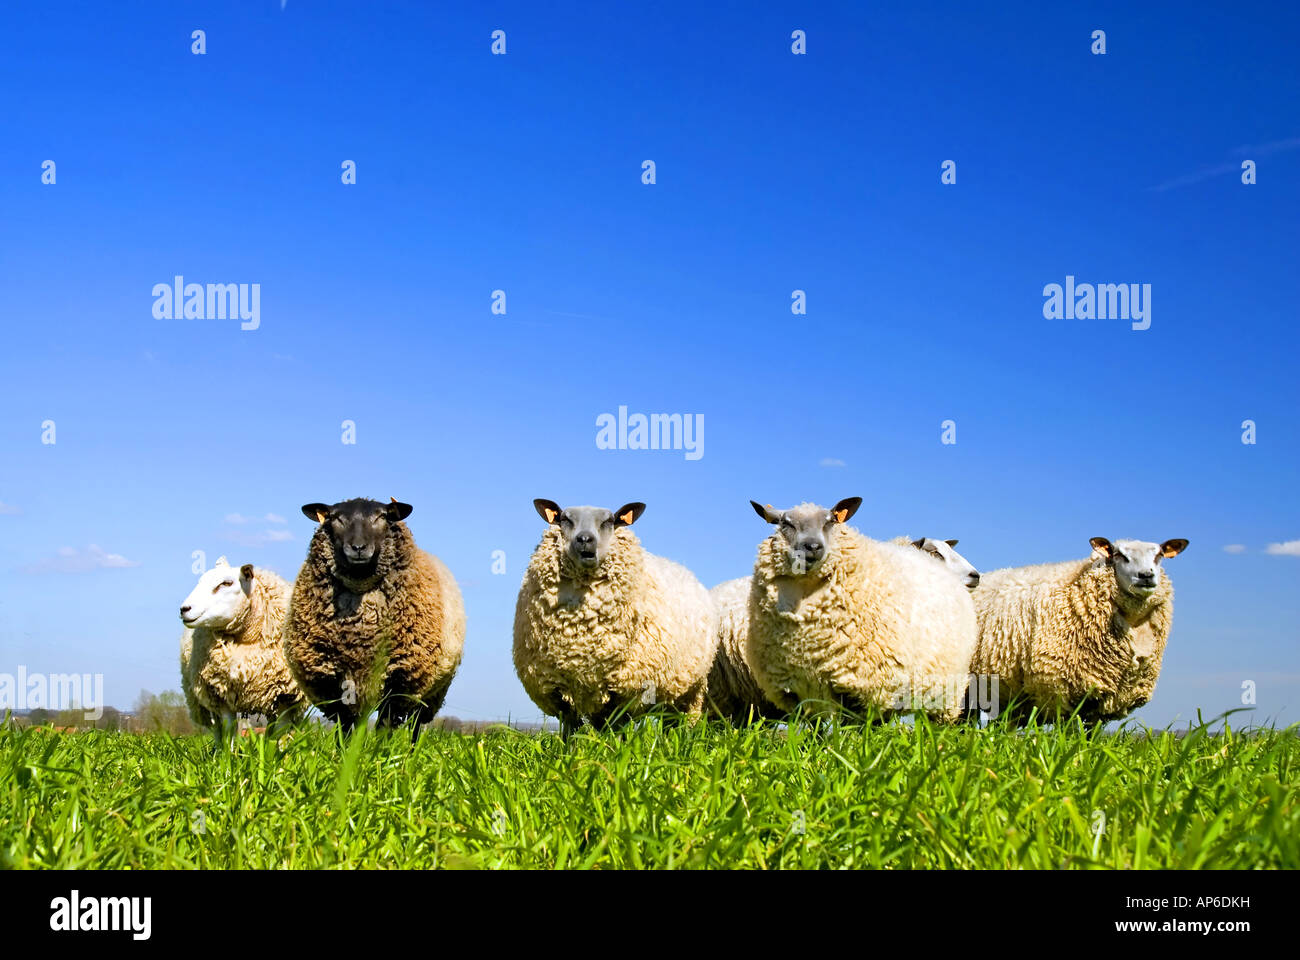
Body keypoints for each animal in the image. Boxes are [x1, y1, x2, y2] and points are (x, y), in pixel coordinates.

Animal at [178, 557, 306, 742]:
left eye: (226, 583)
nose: (184, 609)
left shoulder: (287, 696)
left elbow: (280, 733)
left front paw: (278, 750)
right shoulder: (221, 694)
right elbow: (228, 732)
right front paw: (228, 751)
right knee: (217, 730)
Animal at [282, 497, 465, 732]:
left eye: (382, 517)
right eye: (336, 518)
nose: (358, 547)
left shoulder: (401, 677)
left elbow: (385, 724)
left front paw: (380, 743)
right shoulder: (328, 680)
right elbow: (345, 723)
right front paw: (347, 743)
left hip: (432, 691)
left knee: (415, 723)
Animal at [512, 499, 717, 737]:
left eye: (609, 521)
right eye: (565, 519)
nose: (585, 540)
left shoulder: (625, 688)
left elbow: (614, 727)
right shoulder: (554, 688)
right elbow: (570, 729)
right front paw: (570, 748)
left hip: (694, 688)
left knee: (686, 720)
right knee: (670, 722)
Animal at [743, 498, 978, 722]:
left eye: (831, 521)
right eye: (786, 523)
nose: (813, 546)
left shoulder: (858, 684)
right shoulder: (793, 691)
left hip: (946, 691)